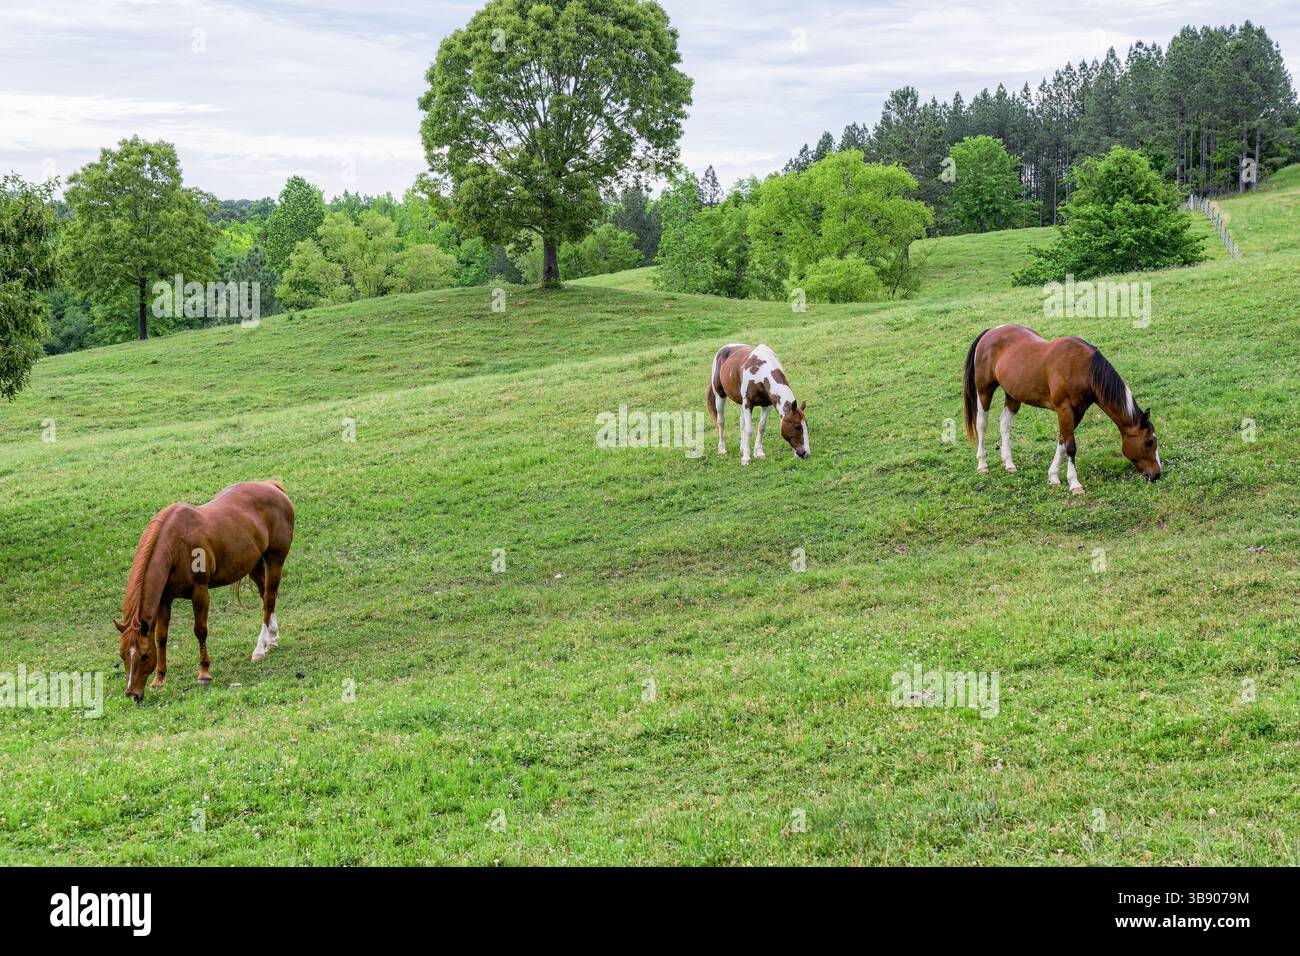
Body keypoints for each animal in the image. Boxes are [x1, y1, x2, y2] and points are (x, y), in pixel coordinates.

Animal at [115, 480, 295, 701]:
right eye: (122, 654)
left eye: (144, 655)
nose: (132, 693)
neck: (175, 546)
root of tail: (272, 486)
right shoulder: (165, 600)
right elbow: (161, 637)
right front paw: (159, 679)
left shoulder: (200, 593)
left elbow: (200, 631)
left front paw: (204, 673)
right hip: (254, 565)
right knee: (267, 597)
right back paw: (272, 639)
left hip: (275, 559)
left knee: (269, 599)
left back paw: (260, 647)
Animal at [962, 324, 1161, 494]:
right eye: (1148, 442)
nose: (1156, 474)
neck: (1084, 369)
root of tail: (991, 331)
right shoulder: (1064, 409)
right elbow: (1071, 446)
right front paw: (1074, 483)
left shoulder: (1078, 411)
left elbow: (1062, 441)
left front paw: (1053, 477)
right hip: (984, 390)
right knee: (982, 425)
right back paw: (982, 464)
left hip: (1012, 394)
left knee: (1004, 424)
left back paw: (1009, 463)